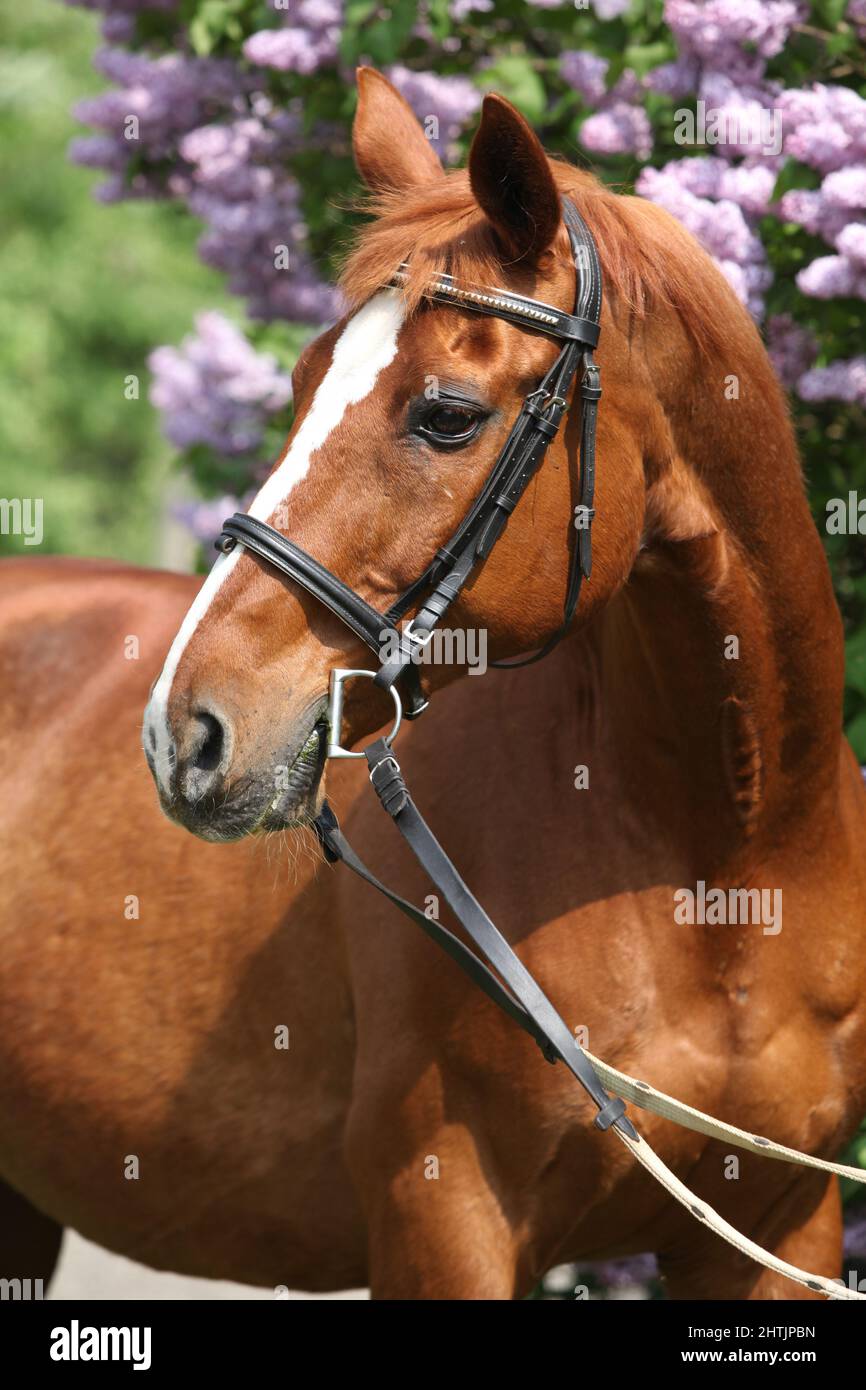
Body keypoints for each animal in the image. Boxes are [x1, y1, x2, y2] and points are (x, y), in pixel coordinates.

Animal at [1, 68, 865, 1300]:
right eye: (303, 380)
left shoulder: (781, 1224)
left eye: (446, 413)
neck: (724, 866)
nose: (187, 733)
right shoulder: (441, 1209)